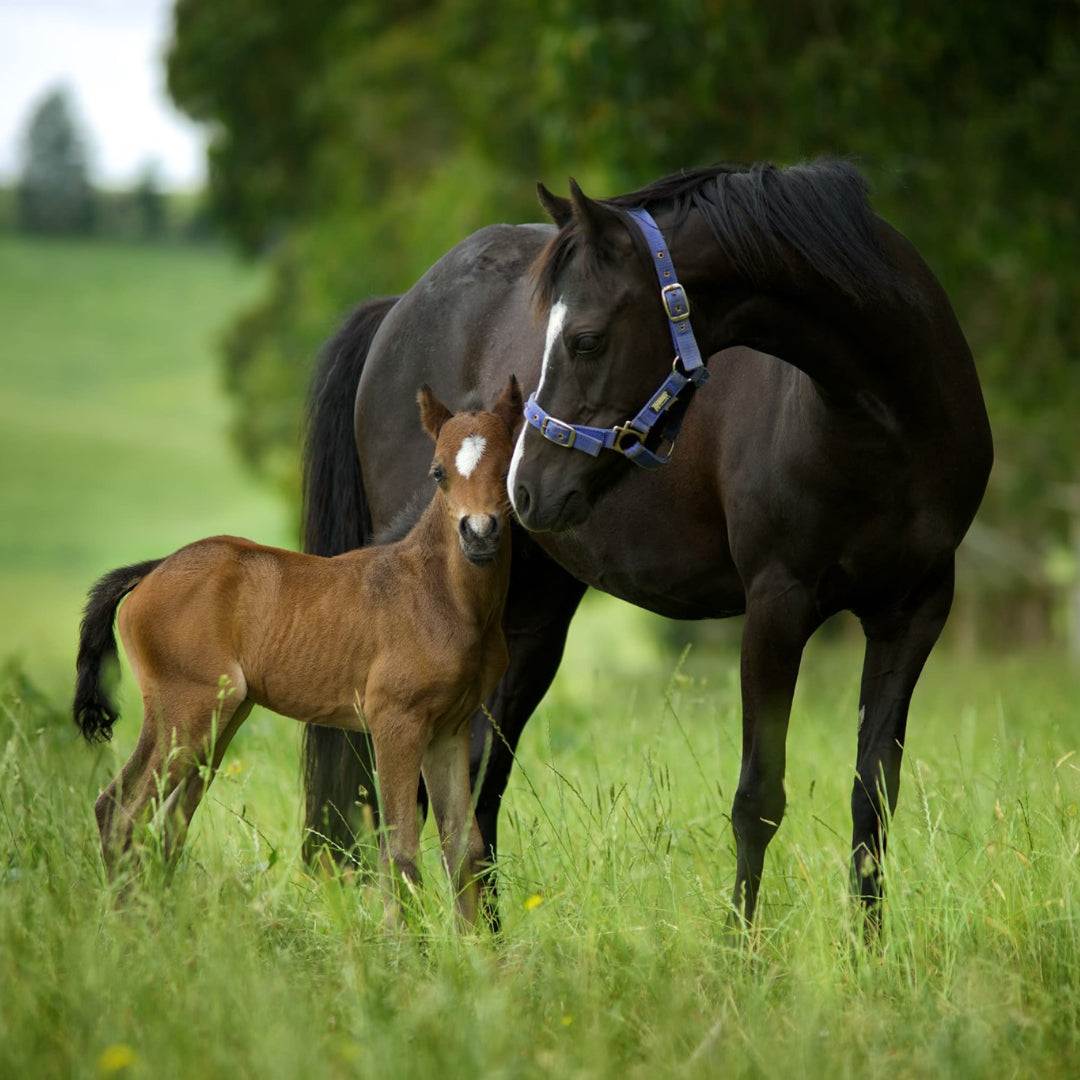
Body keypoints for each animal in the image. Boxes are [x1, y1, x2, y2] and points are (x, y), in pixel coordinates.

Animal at [73, 378, 523, 926]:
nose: (479, 533)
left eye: (507, 464)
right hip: (190, 709)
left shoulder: (450, 729)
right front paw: (403, 946)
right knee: (125, 814)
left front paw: (474, 948)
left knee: (152, 816)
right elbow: (399, 849)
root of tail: (153, 569)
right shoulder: (395, 721)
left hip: (214, 716)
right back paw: (130, 927)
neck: (441, 594)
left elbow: (464, 849)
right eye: (437, 472)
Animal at [300, 159, 993, 930]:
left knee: (478, 782)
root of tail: (397, 309)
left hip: (530, 616)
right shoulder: (777, 606)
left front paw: (867, 949)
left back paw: (489, 942)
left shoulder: (915, 610)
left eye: (586, 339)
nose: (522, 487)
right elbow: (758, 798)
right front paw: (740, 949)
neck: (880, 419)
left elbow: (872, 800)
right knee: (399, 793)